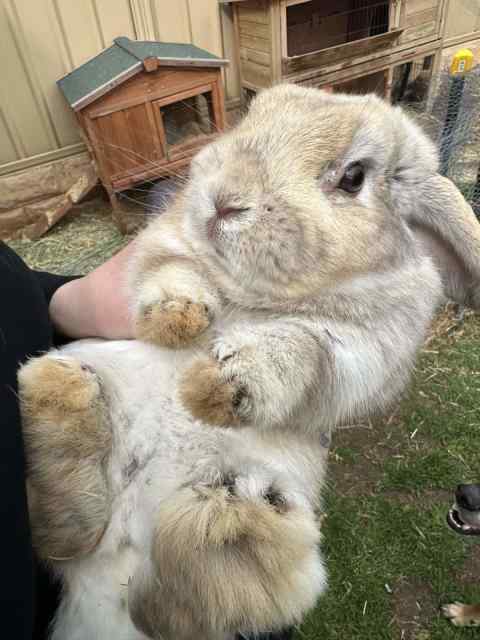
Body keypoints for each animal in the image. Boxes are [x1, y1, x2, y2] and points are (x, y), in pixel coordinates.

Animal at [128, 83, 480, 435]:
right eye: (249, 118)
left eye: (353, 177)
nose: (223, 201)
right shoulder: (167, 246)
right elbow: (174, 272)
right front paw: (176, 316)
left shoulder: (358, 354)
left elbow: (303, 346)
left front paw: (219, 384)